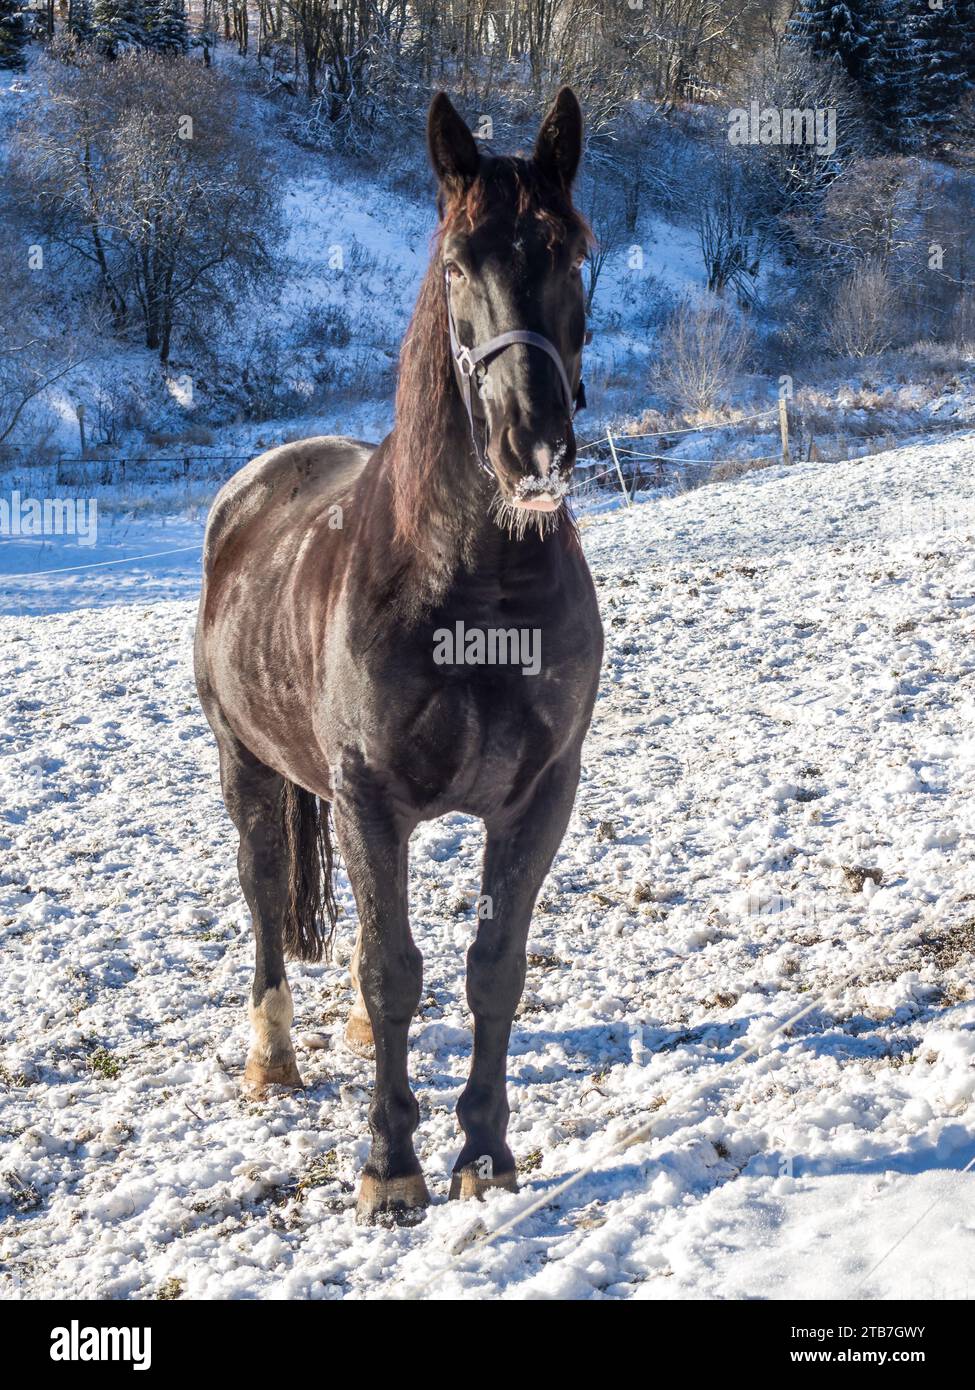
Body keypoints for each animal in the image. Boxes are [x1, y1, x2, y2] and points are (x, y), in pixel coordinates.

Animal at [194, 87, 604, 1223]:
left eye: (573, 251)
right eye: (458, 261)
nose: (533, 450)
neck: (470, 585)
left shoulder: (540, 795)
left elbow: (490, 965)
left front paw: (485, 1154)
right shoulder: (365, 794)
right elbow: (390, 968)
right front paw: (390, 1167)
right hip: (249, 772)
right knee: (262, 902)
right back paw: (272, 1060)